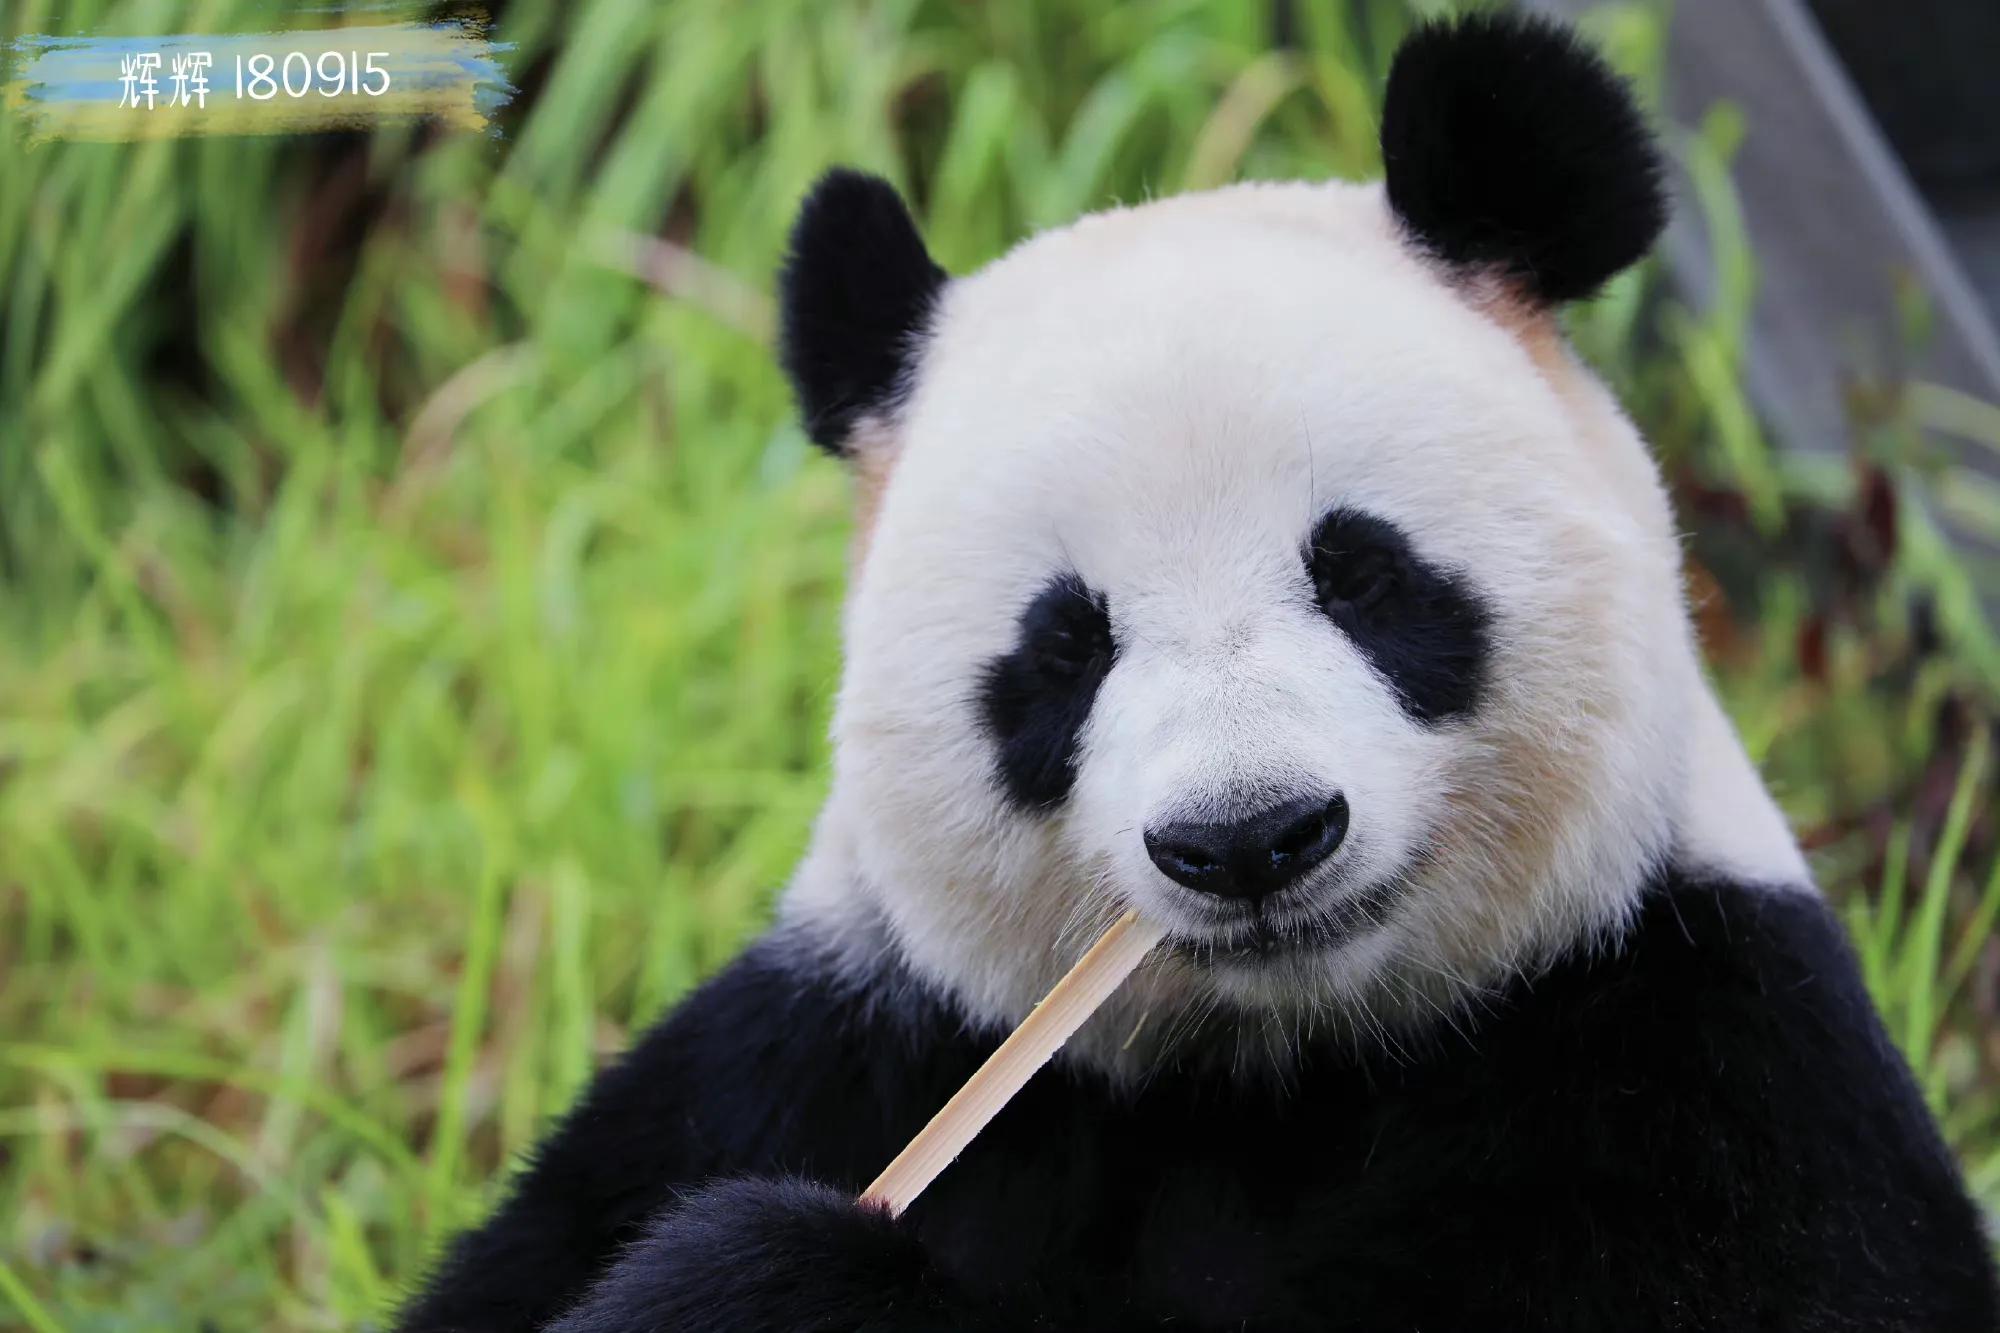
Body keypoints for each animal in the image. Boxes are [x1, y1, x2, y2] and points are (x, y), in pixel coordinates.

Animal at [397, 13, 2000, 1332]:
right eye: (1064, 646)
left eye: (1361, 573)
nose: (1249, 838)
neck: (1280, 1069)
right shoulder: (838, 1044)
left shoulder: (1700, 1063)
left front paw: (770, 1277)